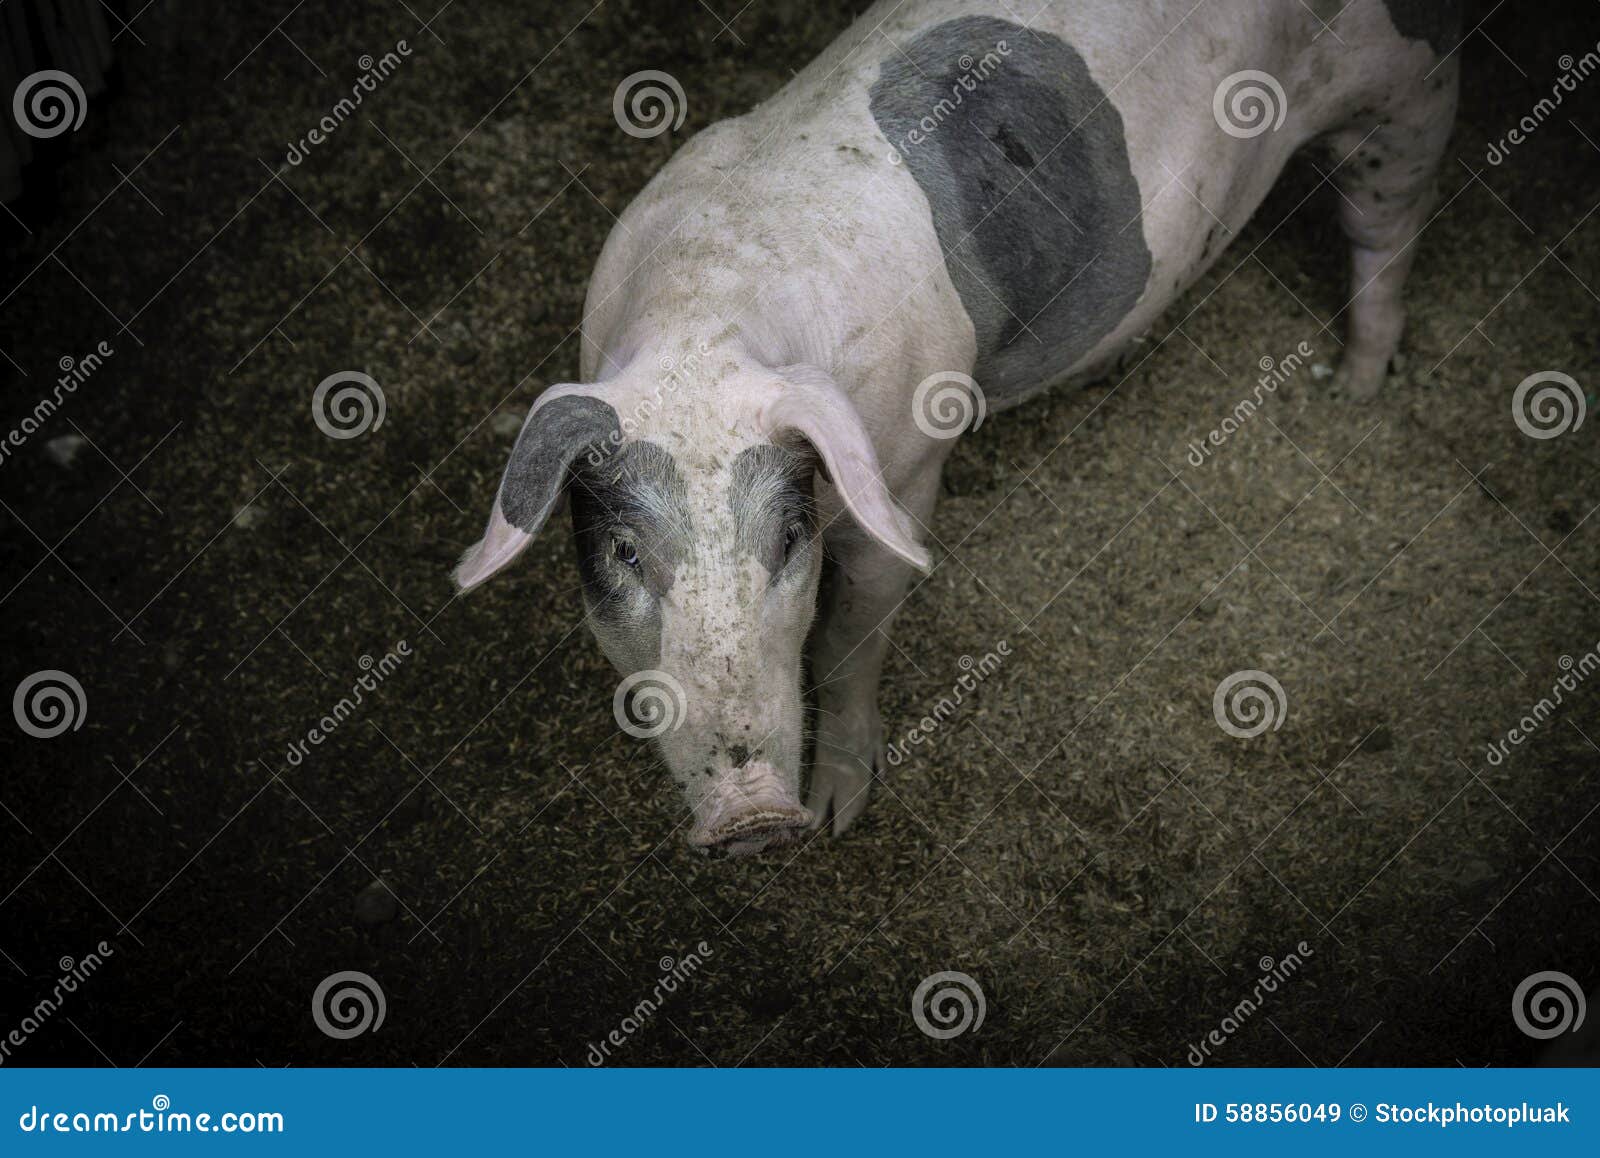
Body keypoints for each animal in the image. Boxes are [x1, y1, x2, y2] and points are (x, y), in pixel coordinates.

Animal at [456, 0, 1460, 855]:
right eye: (623, 551)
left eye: (787, 538)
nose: (756, 819)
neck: (707, 321)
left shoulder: (903, 472)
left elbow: (853, 635)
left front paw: (839, 817)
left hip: (1408, 100)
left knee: (1387, 240)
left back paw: (1353, 390)